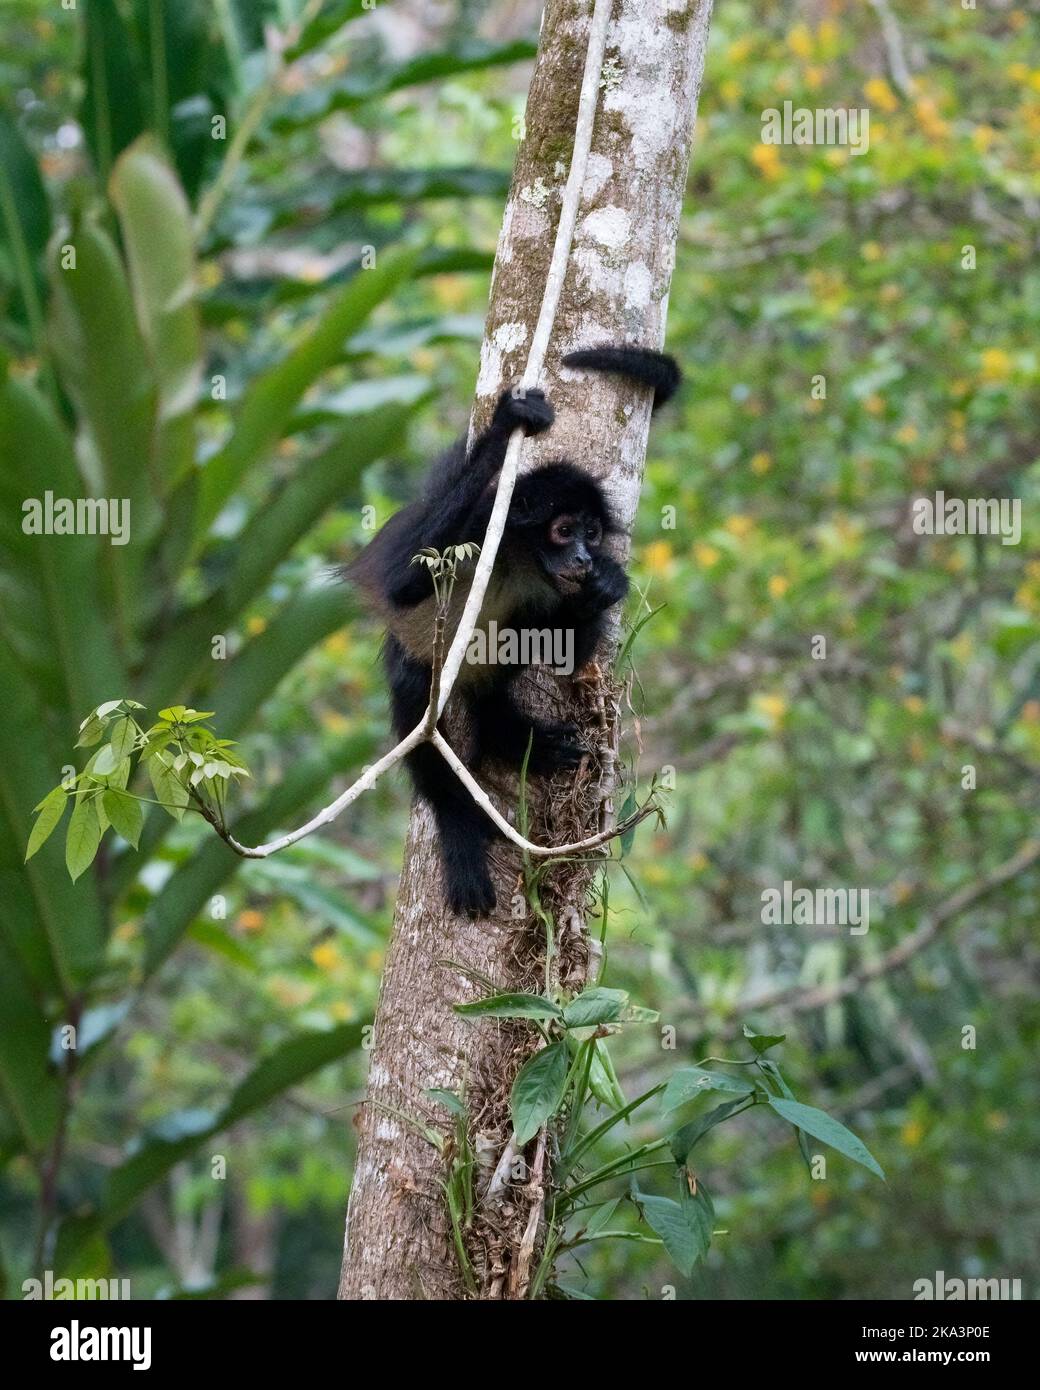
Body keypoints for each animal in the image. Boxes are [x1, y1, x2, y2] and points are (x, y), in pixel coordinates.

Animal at [348, 345, 680, 917]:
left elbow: (570, 655)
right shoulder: (484, 523)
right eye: (564, 531)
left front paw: (607, 583)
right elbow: (400, 584)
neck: (519, 557)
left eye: (592, 532)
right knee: (419, 687)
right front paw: (508, 422)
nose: (582, 557)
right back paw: (459, 818)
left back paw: (507, 734)